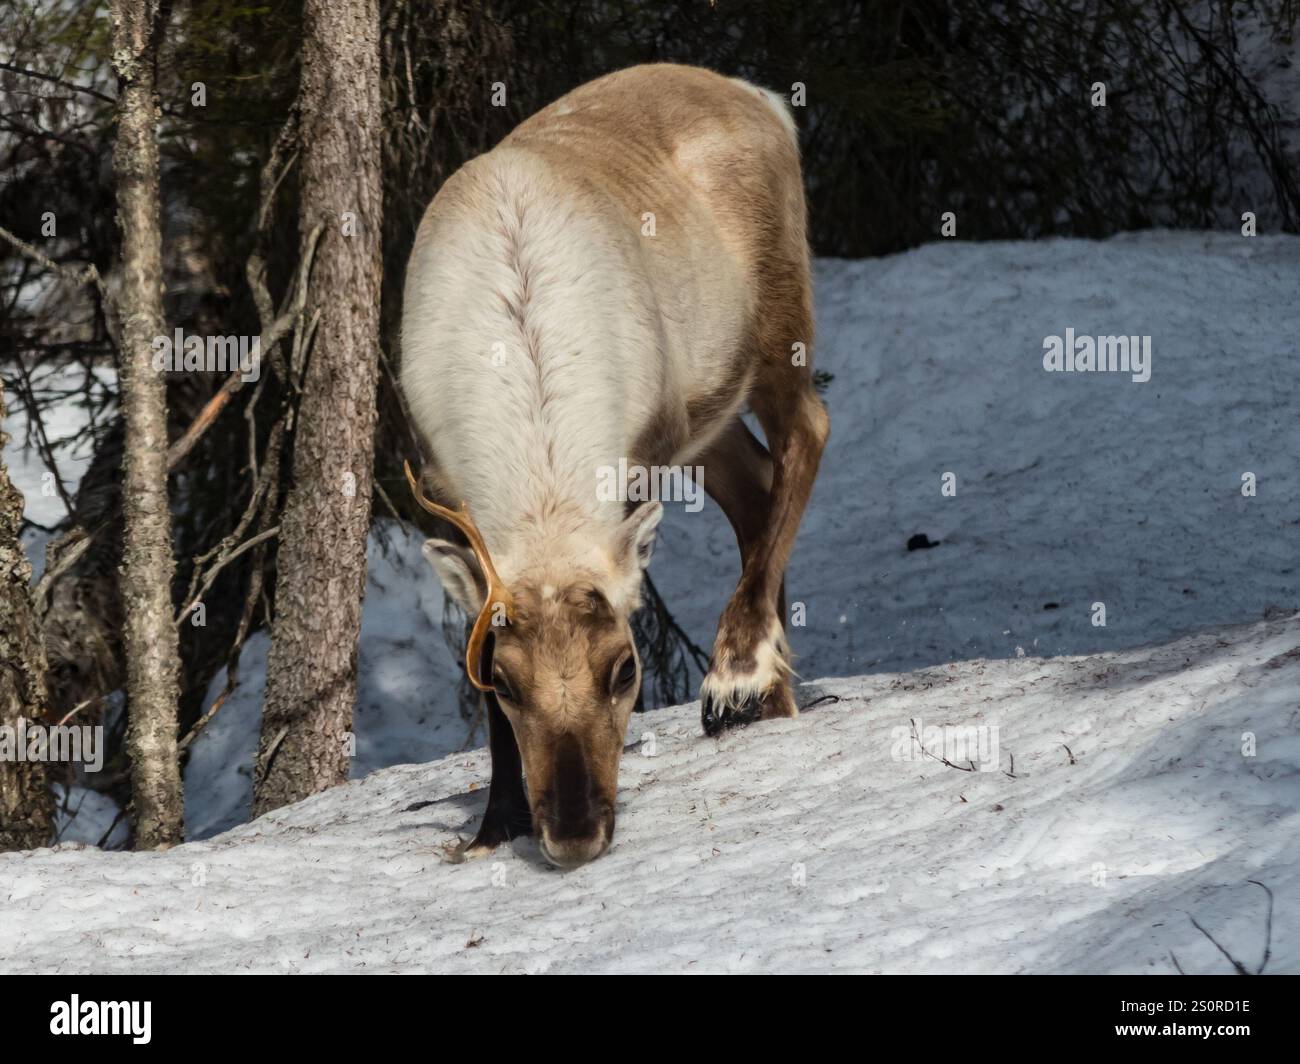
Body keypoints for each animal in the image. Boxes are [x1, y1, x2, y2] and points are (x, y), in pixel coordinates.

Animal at [400, 64, 829, 868]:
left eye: (625, 668)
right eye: (503, 681)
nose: (575, 833)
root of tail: (759, 96)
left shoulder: (642, 454)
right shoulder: (450, 491)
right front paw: (493, 827)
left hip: (776, 323)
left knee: (807, 433)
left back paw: (738, 674)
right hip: (705, 413)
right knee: (756, 488)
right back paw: (775, 698)